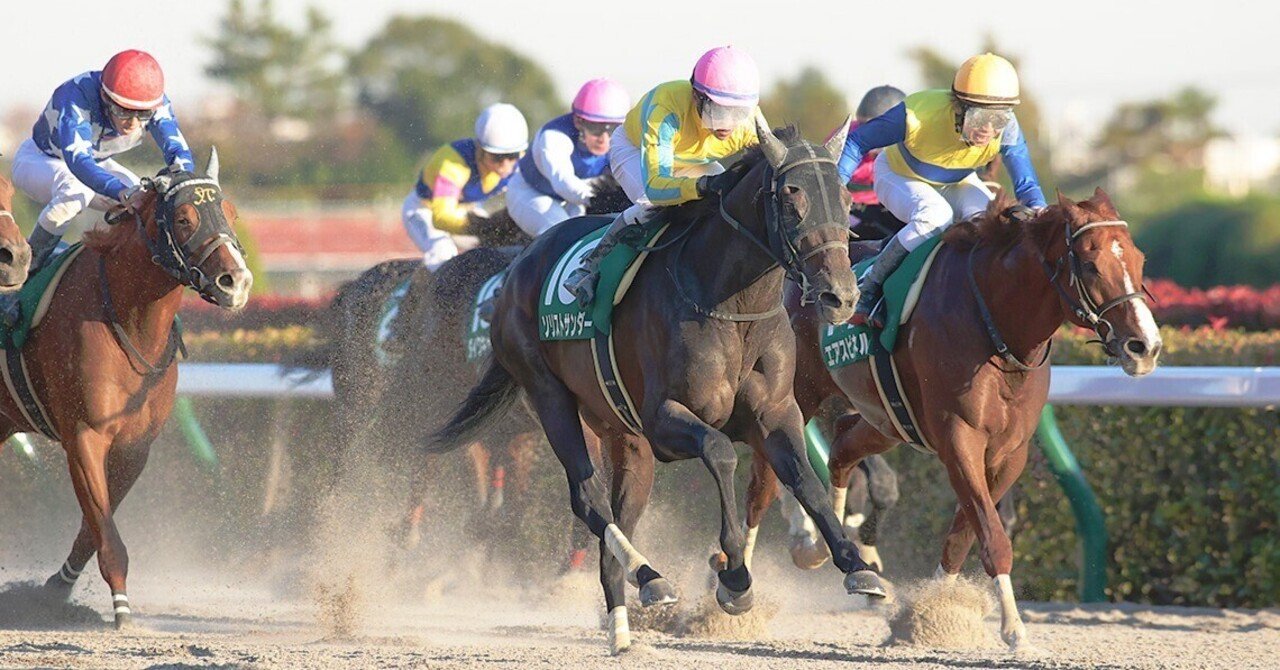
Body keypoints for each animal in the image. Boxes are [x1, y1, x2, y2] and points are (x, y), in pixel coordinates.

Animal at [0, 151, 251, 628]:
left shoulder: (135, 446)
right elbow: (105, 528)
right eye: (186, 219)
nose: (237, 281)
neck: (127, 317)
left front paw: (56, 589)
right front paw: (120, 608)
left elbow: (94, 526)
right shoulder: (84, 436)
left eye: (230, 213)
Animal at [432, 118, 885, 655]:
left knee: (617, 516)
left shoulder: (776, 412)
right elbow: (720, 452)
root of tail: (520, 263)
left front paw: (855, 566)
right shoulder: (666, 417)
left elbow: (805, 481)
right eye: (791, 196)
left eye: (845, 197)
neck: (732, 306)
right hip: (549, 395)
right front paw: (734, 578)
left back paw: (621, 624)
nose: (841, 296)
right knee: (587, 497)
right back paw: (650, 576)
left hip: (624, 436)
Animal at [783, 189, 1161, 650]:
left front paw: (929, 613)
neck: (996, 328)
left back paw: (829, 548)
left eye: (1140, 260)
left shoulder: (1009, 452)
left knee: (840, 446)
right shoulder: (958, 438)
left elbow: (965, 533)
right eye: (1090, 265)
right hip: (801, 391)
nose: (1145, 346)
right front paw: (1014, 630)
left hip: (886, 420)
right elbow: (991, 535)